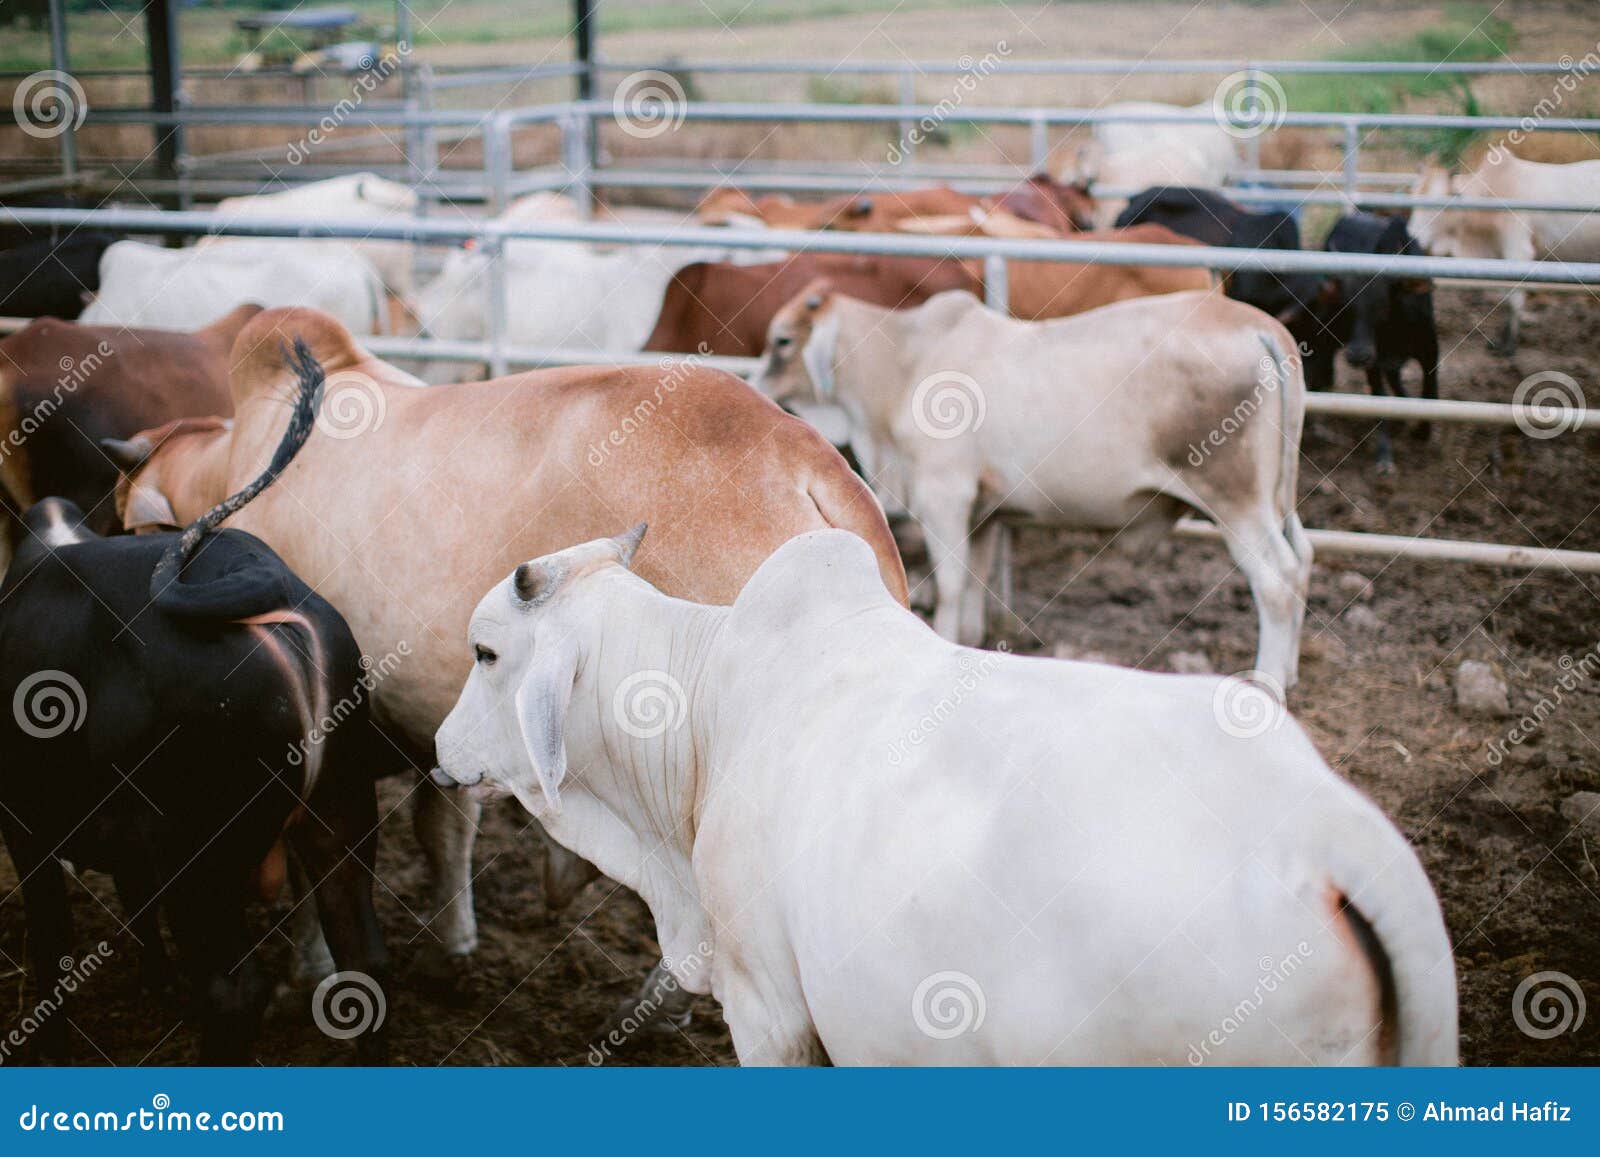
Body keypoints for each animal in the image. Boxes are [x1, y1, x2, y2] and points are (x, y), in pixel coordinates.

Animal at [0, 344, 392, 1064]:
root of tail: (256, 569)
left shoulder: (27, 821)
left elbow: (51, 939)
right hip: (342, 811)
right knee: (366, 962)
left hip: (199, 857)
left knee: (234, 992)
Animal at [108, 305, 909, 1026]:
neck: (239, 466)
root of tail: (806, 458)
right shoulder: (440, 720)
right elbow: (444, 824)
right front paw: (454, 945)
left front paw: (312, 965)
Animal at [750, 285, 1311, 693]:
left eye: (782, 341)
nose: (756, 388)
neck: (904, 366)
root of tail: (1256, 324)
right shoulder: (982, 513)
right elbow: (974, 589)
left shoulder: (943, 495)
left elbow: (949, 586)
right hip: (1275, 500)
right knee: (1302, 558)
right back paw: (1288, 673)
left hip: (1235, 500)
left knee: (1278, 578)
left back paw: (1268, 685)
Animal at [1410, 154, 1600, 354]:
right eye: (1413, 194)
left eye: (1437, 203)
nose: (1412, 235)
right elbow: (1506, 298)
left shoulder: (1518, 251)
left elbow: (1515, 299)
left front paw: (1509, 346)